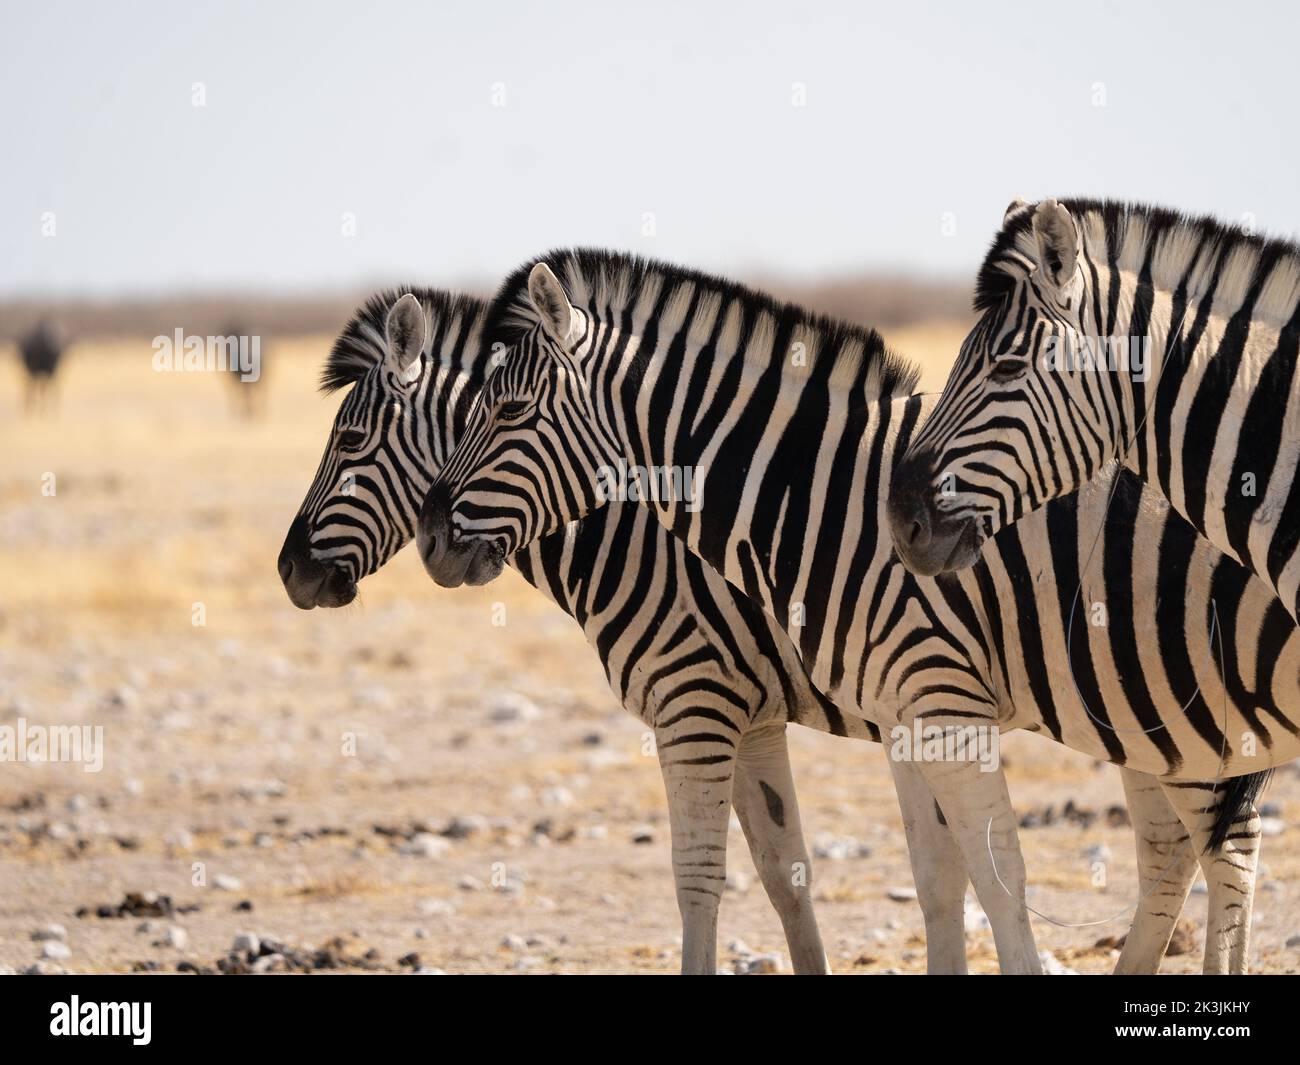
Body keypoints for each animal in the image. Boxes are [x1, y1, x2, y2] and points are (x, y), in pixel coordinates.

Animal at [279, 287, 1233, 975]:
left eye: (352, 440)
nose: (290, 572)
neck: (638, 523)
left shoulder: (696, 699)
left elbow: (699, 876)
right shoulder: (754, 714)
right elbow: (785, 873)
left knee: (1216, 848)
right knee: (1173, 853)